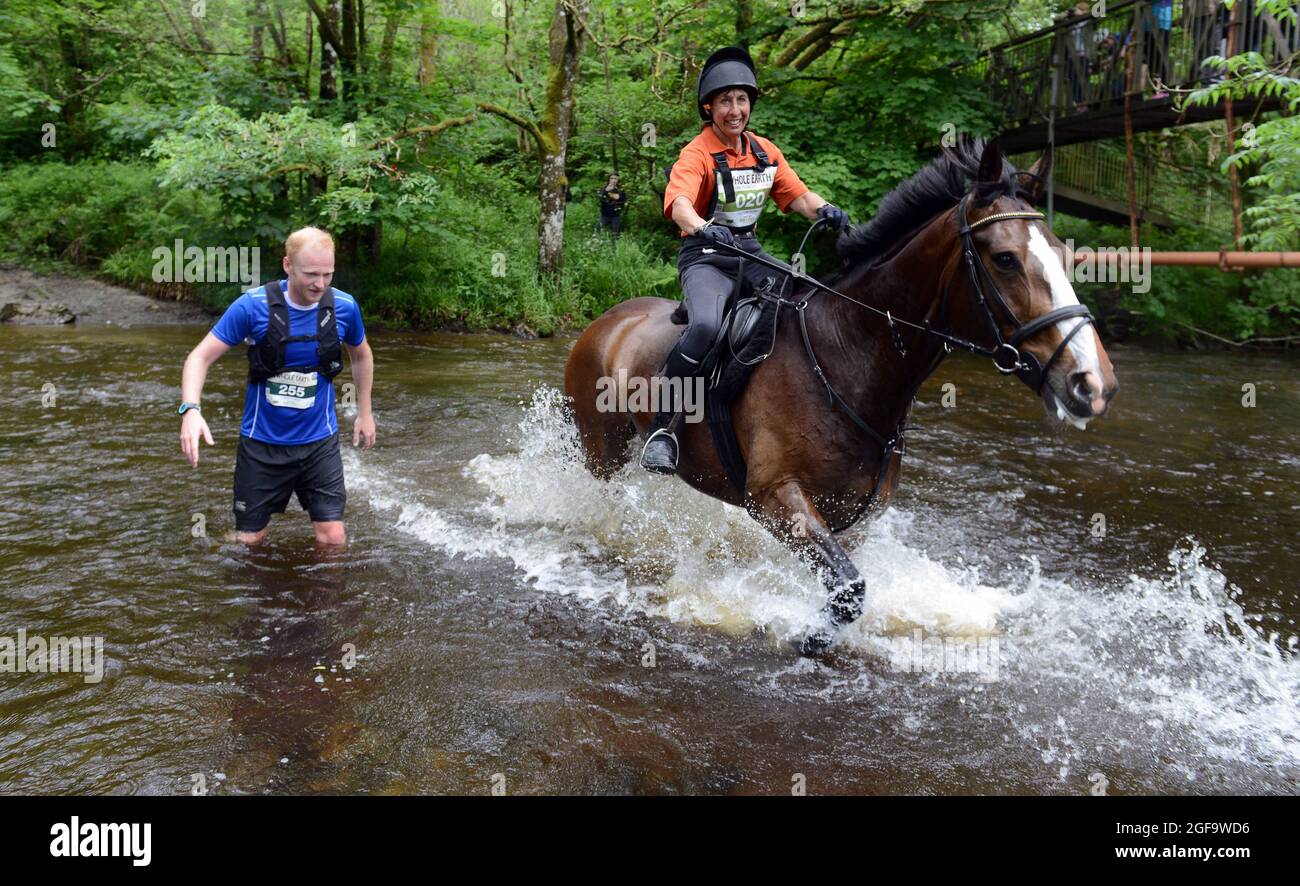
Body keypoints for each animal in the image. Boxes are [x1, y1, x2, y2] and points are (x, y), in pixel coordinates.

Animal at [563, 138, 1118, 655]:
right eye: (1005, 259)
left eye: (1064, 256)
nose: (1092, 383)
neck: (847, 356)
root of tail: (607, 319)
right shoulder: (775, 497)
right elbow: (850, 590)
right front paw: (805, 637)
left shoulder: (853, 520)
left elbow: (843, 583)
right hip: (601, 451)